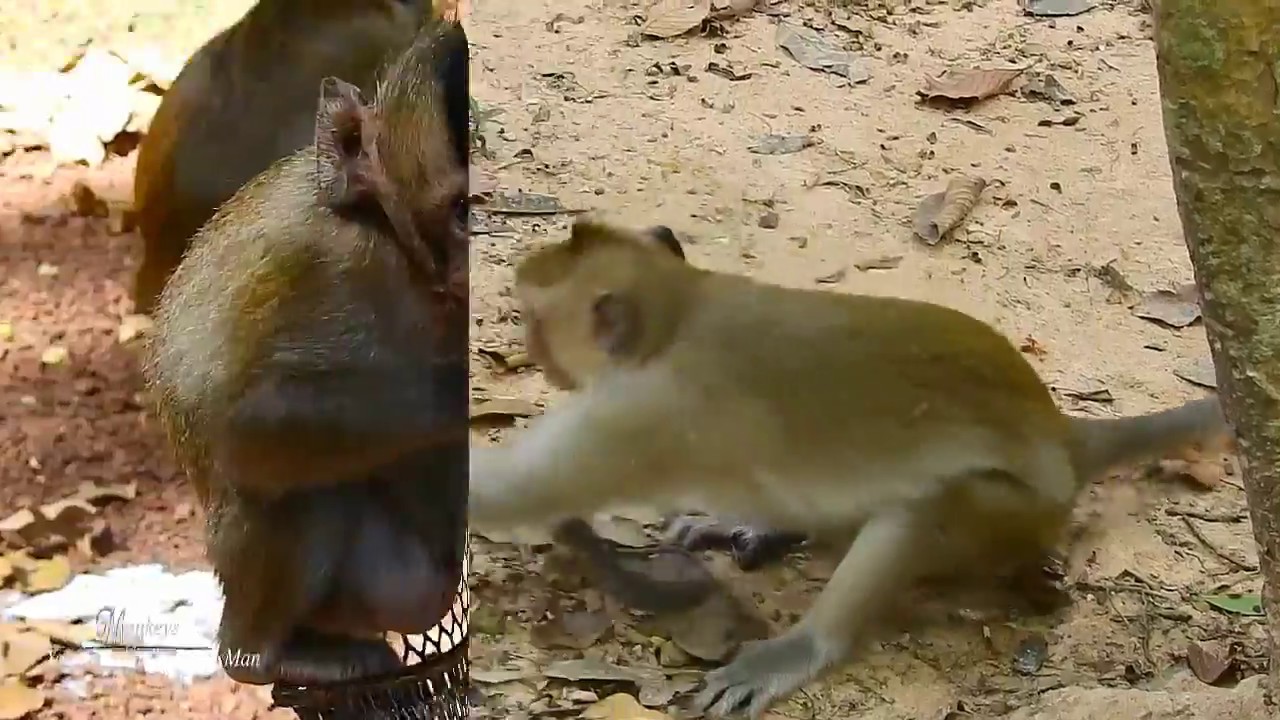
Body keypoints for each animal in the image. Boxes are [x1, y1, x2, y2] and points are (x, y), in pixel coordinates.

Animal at [466, 217, 1229, 719]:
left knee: (930, 506)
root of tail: (1067, 442)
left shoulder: (641, 415)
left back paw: (805, 643)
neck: (682, 311)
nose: (531, 351)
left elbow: (509, 491)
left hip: (1015, 516)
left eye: (534, 320)